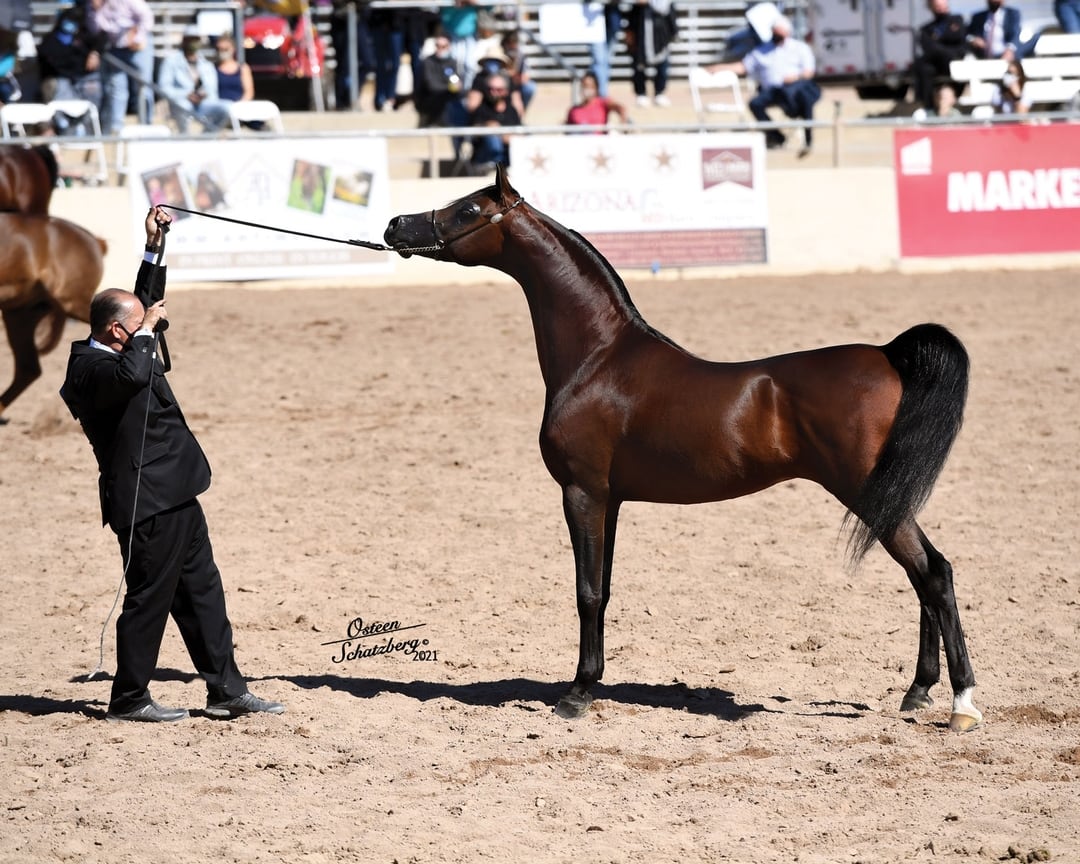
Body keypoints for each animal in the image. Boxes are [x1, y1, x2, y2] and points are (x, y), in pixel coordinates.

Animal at [383, 166, 982, 733]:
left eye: (469, 209)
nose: (394, 226)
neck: (598, 358)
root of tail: (887, 354)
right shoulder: (611, 500)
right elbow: (604, 588)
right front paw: (592, 683)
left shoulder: (582, 492)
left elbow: (586, 592)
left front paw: (577, 694)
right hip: (883, 495)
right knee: (926, 575)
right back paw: (918, 691)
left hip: (865, 490)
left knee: (933, 573)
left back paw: (962, 704)